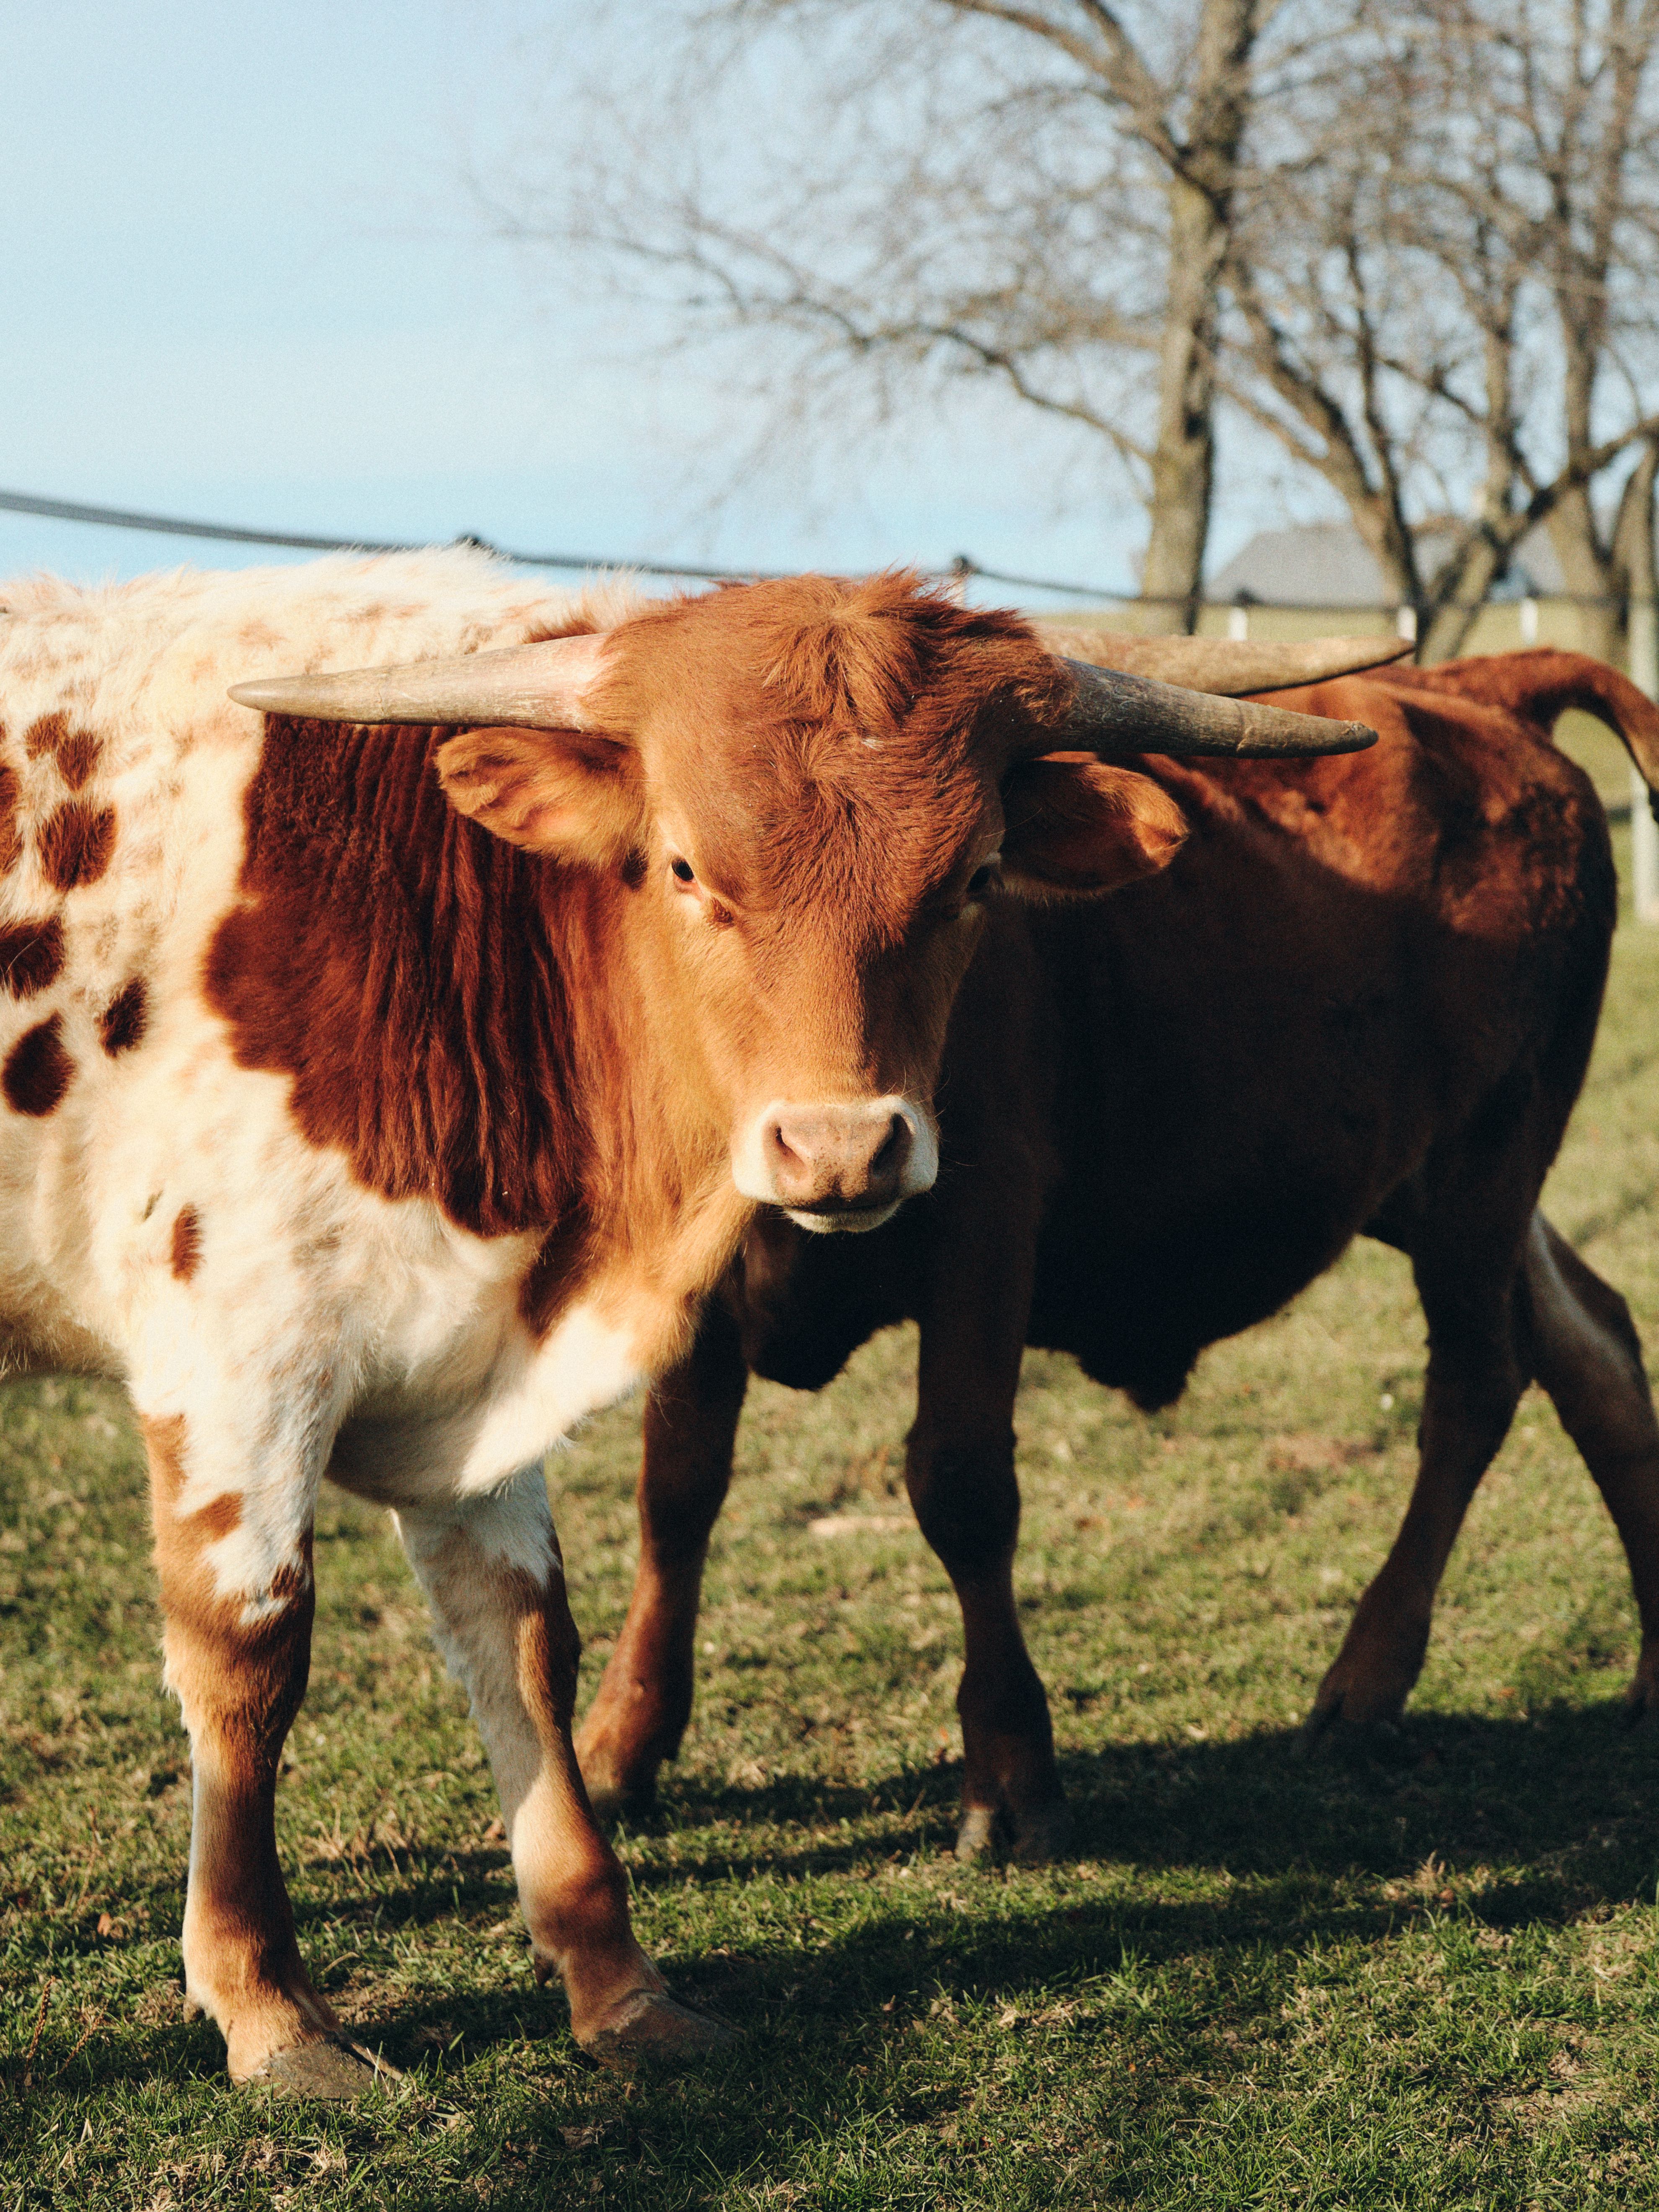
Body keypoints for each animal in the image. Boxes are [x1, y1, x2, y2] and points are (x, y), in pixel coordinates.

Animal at [0, 549, 1382, 2093]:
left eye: (974, 879)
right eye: (683, 868)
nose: (840, 1150)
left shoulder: (477, 1368)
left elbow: (523, 1645)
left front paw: (613, 1979)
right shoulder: (240, 1348)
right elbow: (250, 1652)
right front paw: (267, 2002)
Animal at [575, 648, 1659, 1867]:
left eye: (975, 875)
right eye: (684, 870)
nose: (836, 1143)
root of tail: (1475, 684)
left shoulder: (985, 1227)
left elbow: (960, 1484)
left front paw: (1011, 1777)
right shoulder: (697, 1286)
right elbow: (676, 1490)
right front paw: (620, 1746)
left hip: (1483, 1176)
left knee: (1475, 1387)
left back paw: (1365, 1684)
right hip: (1446, 1195)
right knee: (1596, 1345)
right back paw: (1648, 1677)